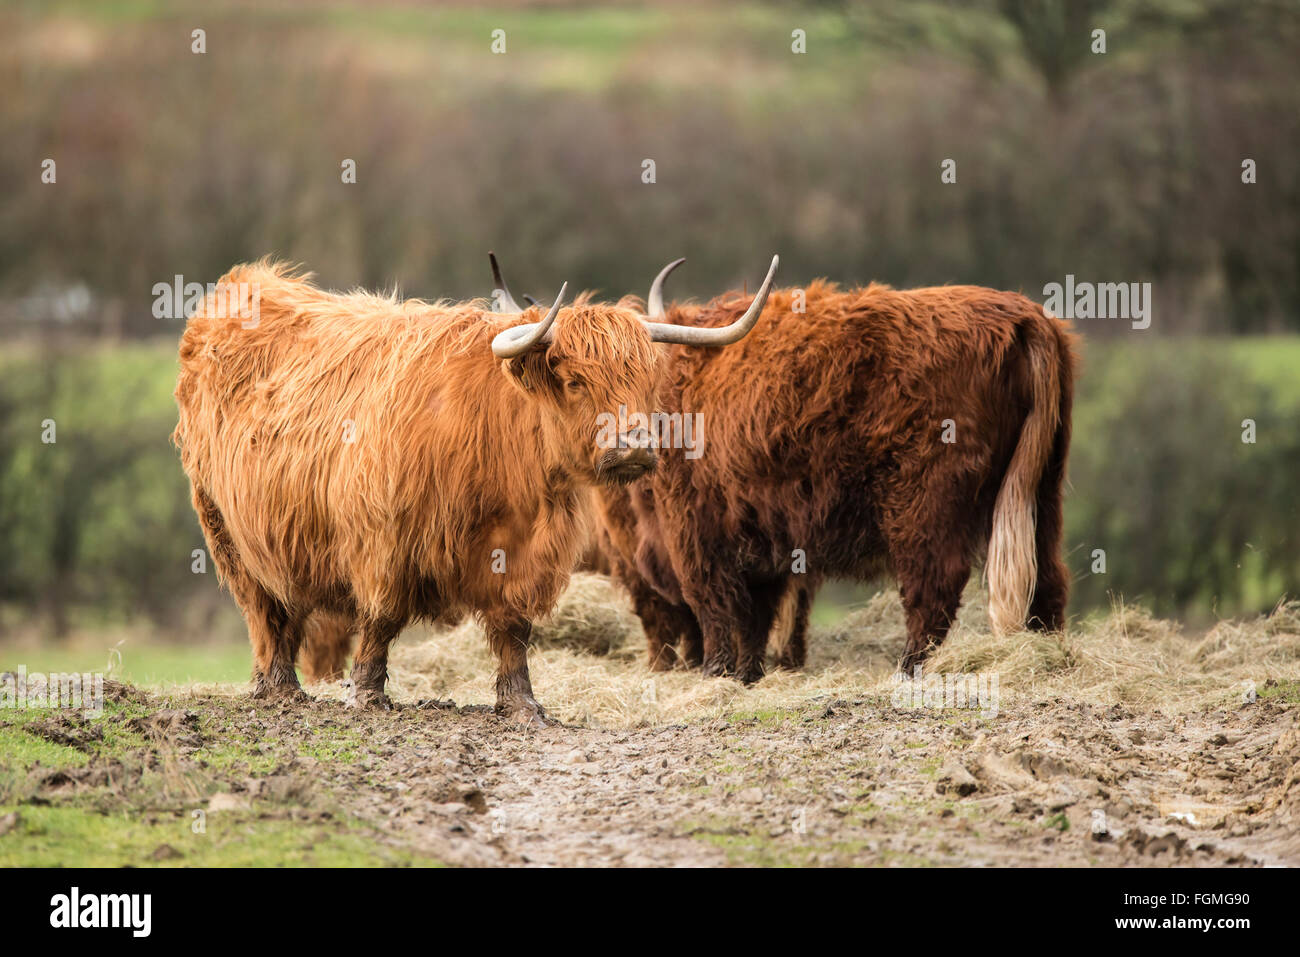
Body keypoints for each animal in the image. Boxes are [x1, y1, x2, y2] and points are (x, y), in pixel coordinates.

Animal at [173, 257, 778, 723]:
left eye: (645, 381)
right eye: (575, 381)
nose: (632, 445)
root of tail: (246, 283)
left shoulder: (527, 555)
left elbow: (513, 629)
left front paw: (521, 705)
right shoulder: (382, 541)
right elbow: (382, 619)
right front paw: (367, 696)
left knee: (287, 604)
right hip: (223, 527)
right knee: (263, 608)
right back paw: (278, 689)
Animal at [498, 258, 1078, 685]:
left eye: (641, 377)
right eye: (575, 381)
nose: (630, 449)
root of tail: (1022, 316)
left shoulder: (692, 526)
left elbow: (712, 605)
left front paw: (716, 675)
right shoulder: (762, 535)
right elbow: (754, 613)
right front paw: (747, 675)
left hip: (925, 502)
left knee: (931, 589)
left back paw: (911, 672)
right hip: (1042, 491)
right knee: (1048, 580)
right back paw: (1048, 660)